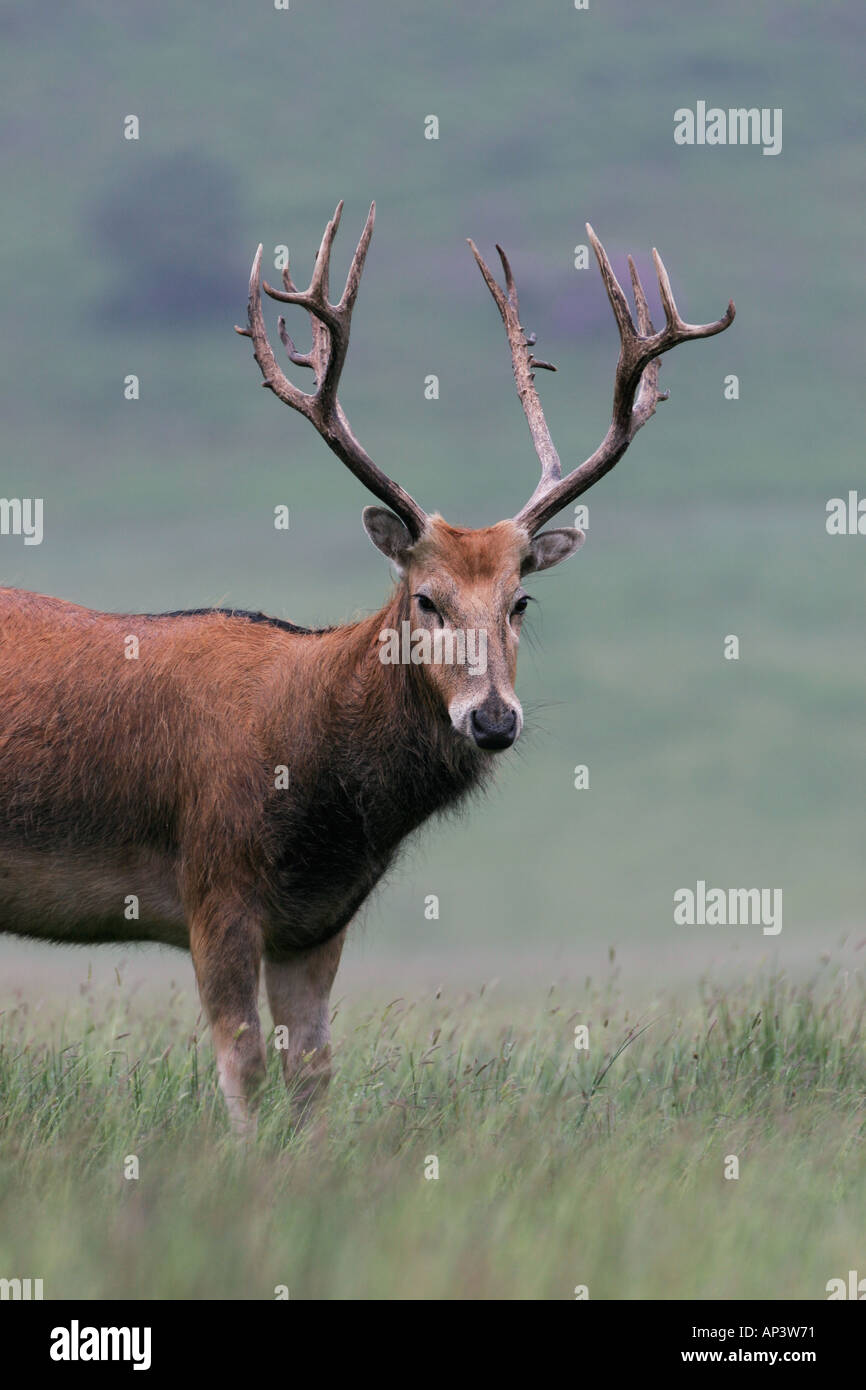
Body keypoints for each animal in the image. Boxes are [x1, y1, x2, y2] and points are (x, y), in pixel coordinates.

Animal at [0, 202, 734, 1134]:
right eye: (425, 598)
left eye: (521, 601)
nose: (493, 717)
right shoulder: (214, 882)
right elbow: (243, 1070)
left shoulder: (318, 922)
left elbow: (314, 1074)